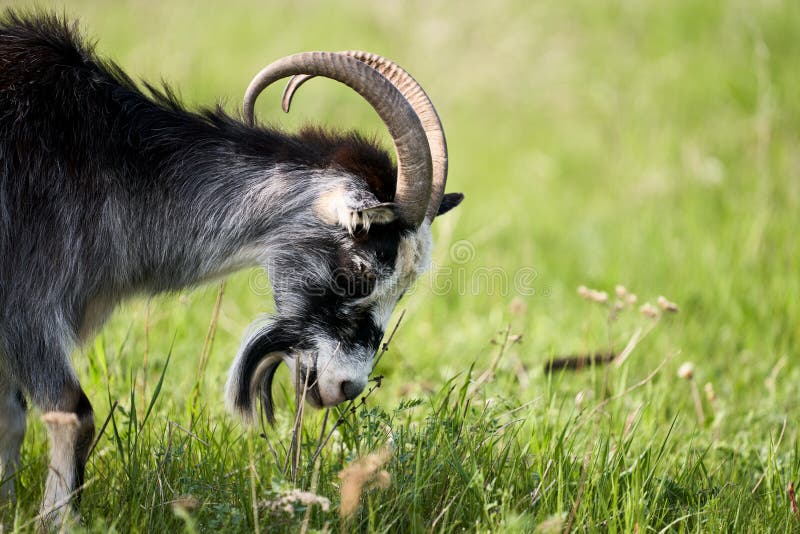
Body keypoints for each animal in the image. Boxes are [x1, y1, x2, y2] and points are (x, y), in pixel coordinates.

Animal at [0, 12, 462, 524]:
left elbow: (11, 419)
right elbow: (71, 411)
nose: (347, 386)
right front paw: (59, 521)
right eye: (358, 273)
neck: (100, 157)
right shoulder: (27, 306)